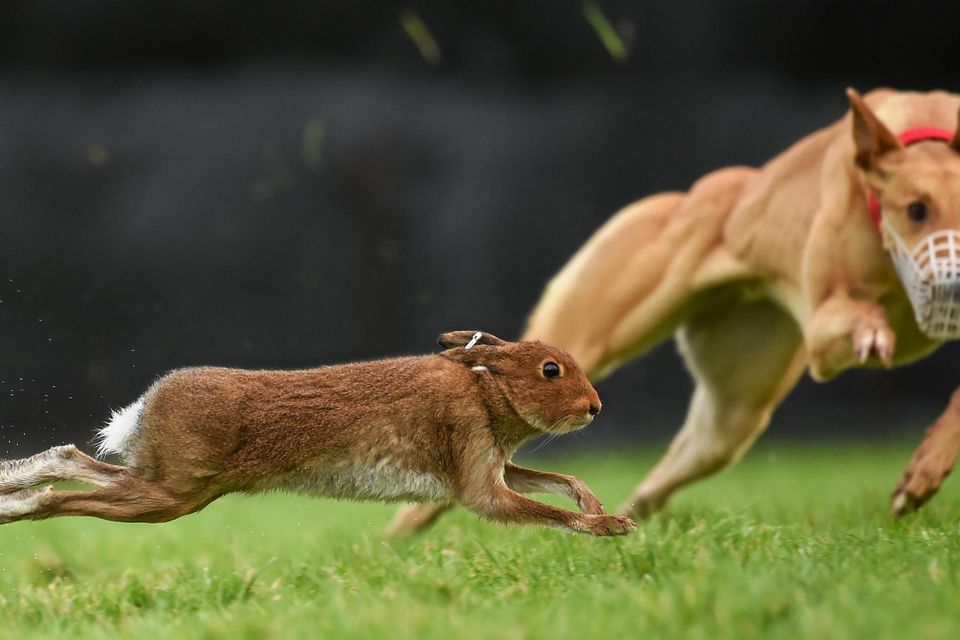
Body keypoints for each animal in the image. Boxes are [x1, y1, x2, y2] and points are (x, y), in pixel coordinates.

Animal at [0, 330, 635, 536]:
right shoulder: (479, 480)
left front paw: (600, 505)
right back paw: (21, 507)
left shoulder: (494, 465)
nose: (595, 408)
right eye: (550, 370)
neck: (486, 390)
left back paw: (14, 490)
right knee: (62, 499)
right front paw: (611, 528)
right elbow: (539, 509)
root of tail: (143, 411)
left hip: (165, 484)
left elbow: (556, 480)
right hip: (170, 493)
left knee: (70, 460)